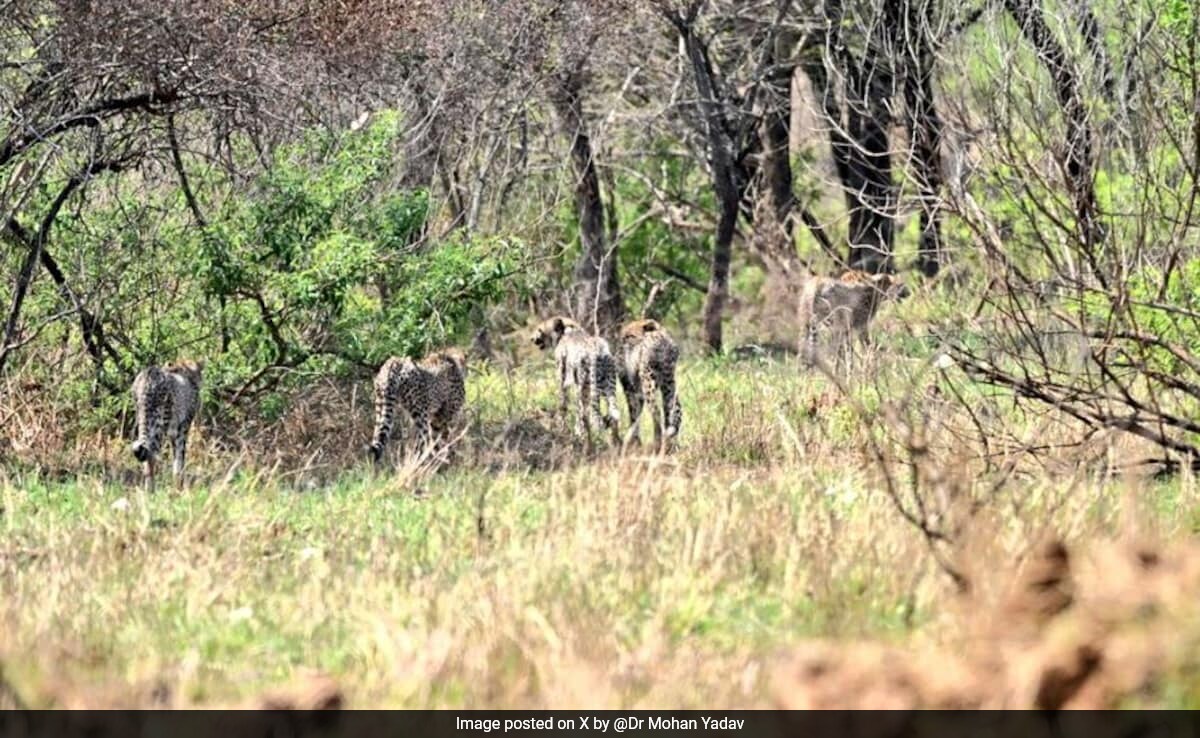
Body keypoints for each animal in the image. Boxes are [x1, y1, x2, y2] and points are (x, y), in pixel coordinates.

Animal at [130, 360, 202, 491]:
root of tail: (151, 371)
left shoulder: (174, 433)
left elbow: (176, 459)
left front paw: (177, 484)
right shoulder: (182, 429)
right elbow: (180, 457)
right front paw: (179, 486)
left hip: (143, 419)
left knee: (146, 452)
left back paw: (148, 489)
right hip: (160, 425)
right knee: (152, 453)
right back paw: (151, 490)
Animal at [530, 315, 621, 448]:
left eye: (540, 330)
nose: (532, 338)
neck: (567, 331)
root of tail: (599, 350)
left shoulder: (562, 381)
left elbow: (562, 405)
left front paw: (561, 427)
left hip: (582, 388)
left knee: (584, 414)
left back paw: (580, 435)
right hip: (608, 388)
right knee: (613, 413)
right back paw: (616, 442)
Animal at [617, 318, 682, 451]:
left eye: (630, 336)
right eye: (624, 336)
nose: (622, 341)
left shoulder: (630, 387)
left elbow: (633, 414)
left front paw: (633, 443)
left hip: (648, 383)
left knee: (656, 412)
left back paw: (658, 443)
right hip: (669, 383)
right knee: (674, 410)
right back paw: (670, 444)